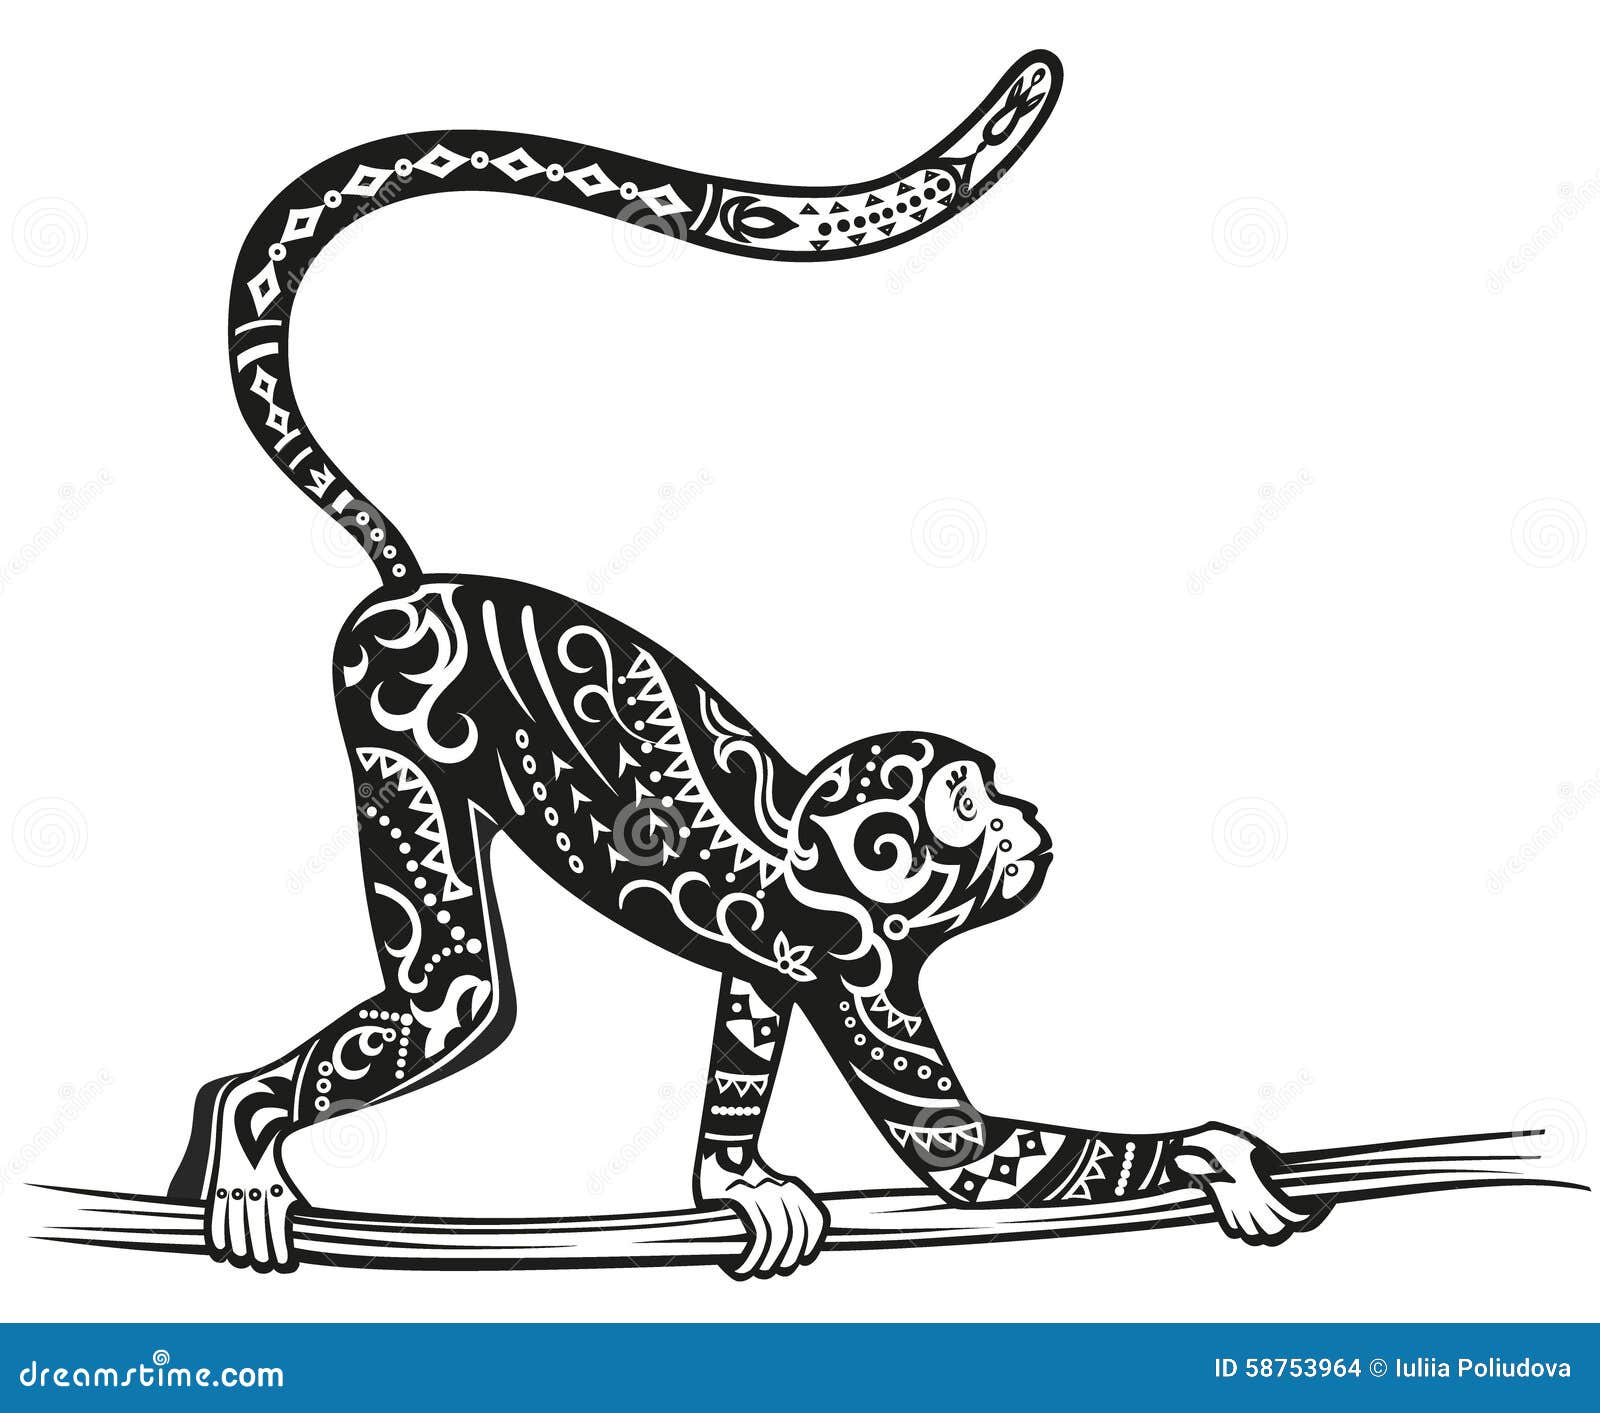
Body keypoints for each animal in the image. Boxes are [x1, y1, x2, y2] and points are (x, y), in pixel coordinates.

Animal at [172, 49, 1327, 1277]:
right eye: (968, 808)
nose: (1026, 818)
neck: (820, 866)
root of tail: (410, 589)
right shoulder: (860, 967)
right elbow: (973, 1160)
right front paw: (1211, 1154)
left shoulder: (778, 963)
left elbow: (748, 1013)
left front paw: (734, 1179)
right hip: (385, 714)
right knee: (459, 992)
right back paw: (242, 1125)